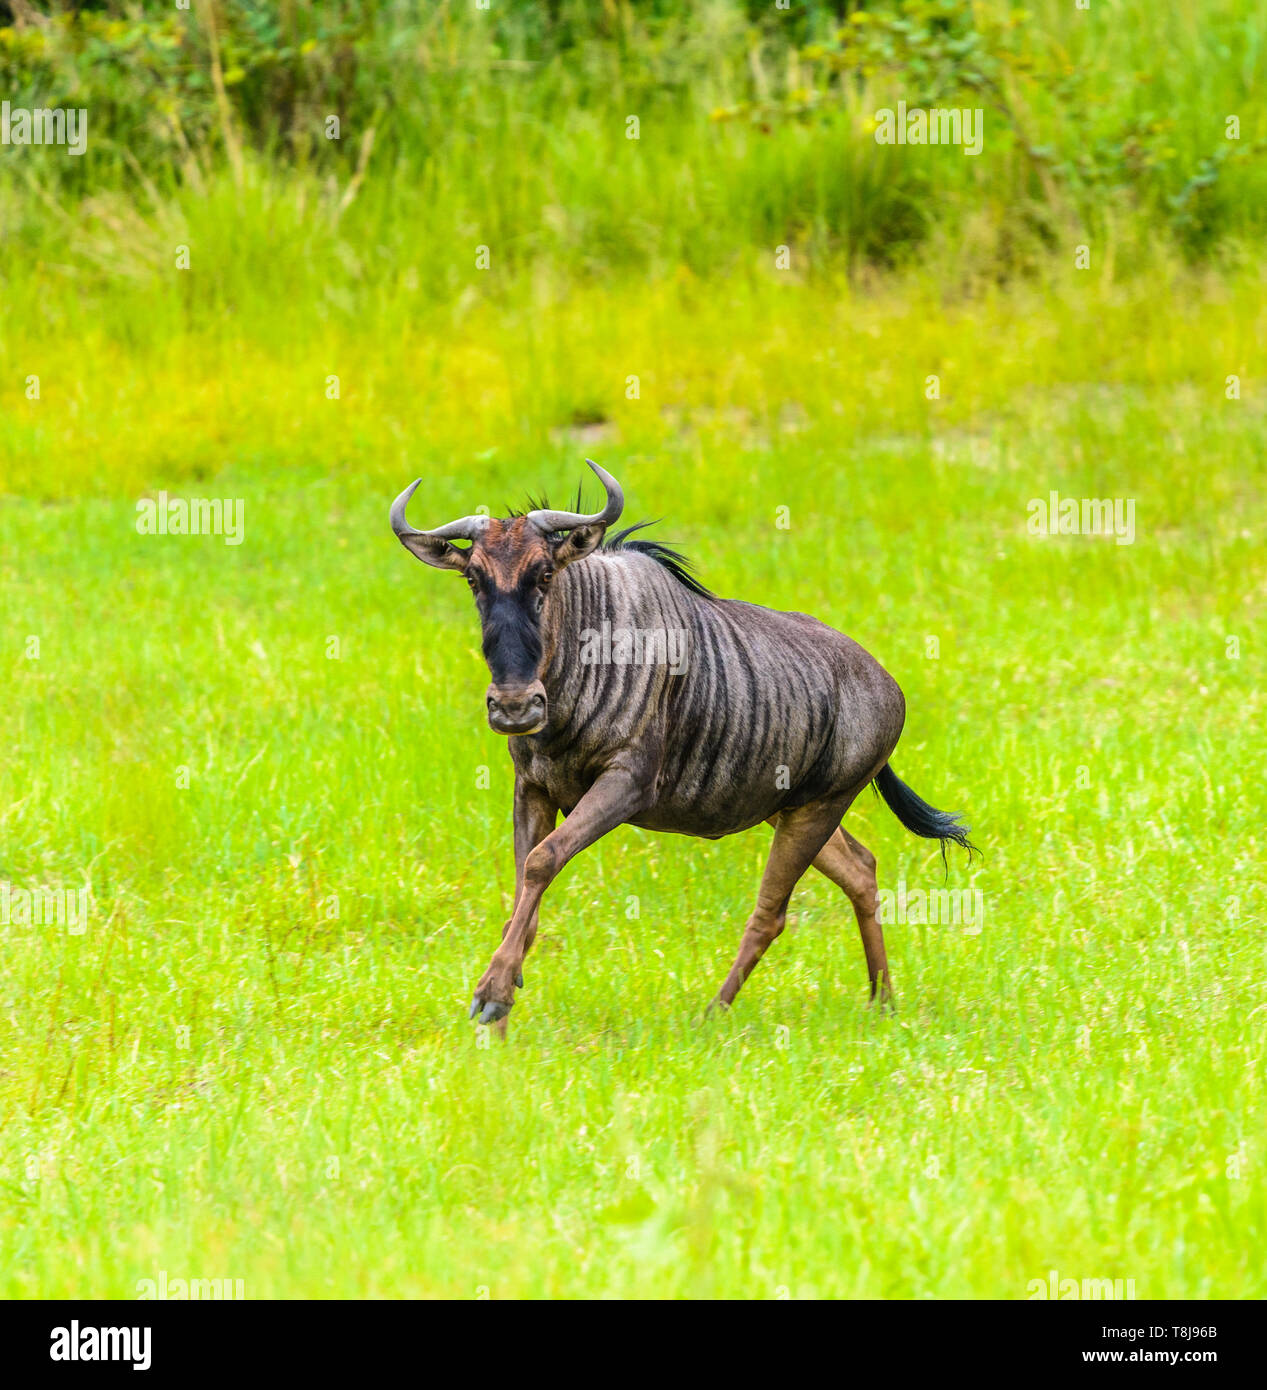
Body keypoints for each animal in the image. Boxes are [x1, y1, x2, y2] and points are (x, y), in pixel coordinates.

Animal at [391, 461, 975, 1026]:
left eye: (546, 573)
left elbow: (541, 862)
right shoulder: (532, 788)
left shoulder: (626, 785)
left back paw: (713, 1015)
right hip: (789, 809)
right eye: (473, 579)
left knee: (771, 912)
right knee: (861, 869)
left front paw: (491, 995)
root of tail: (890, 688)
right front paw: (501, 1017)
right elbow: (522, 897)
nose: (515, 707)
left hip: (820, 808)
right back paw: (882, 1003)